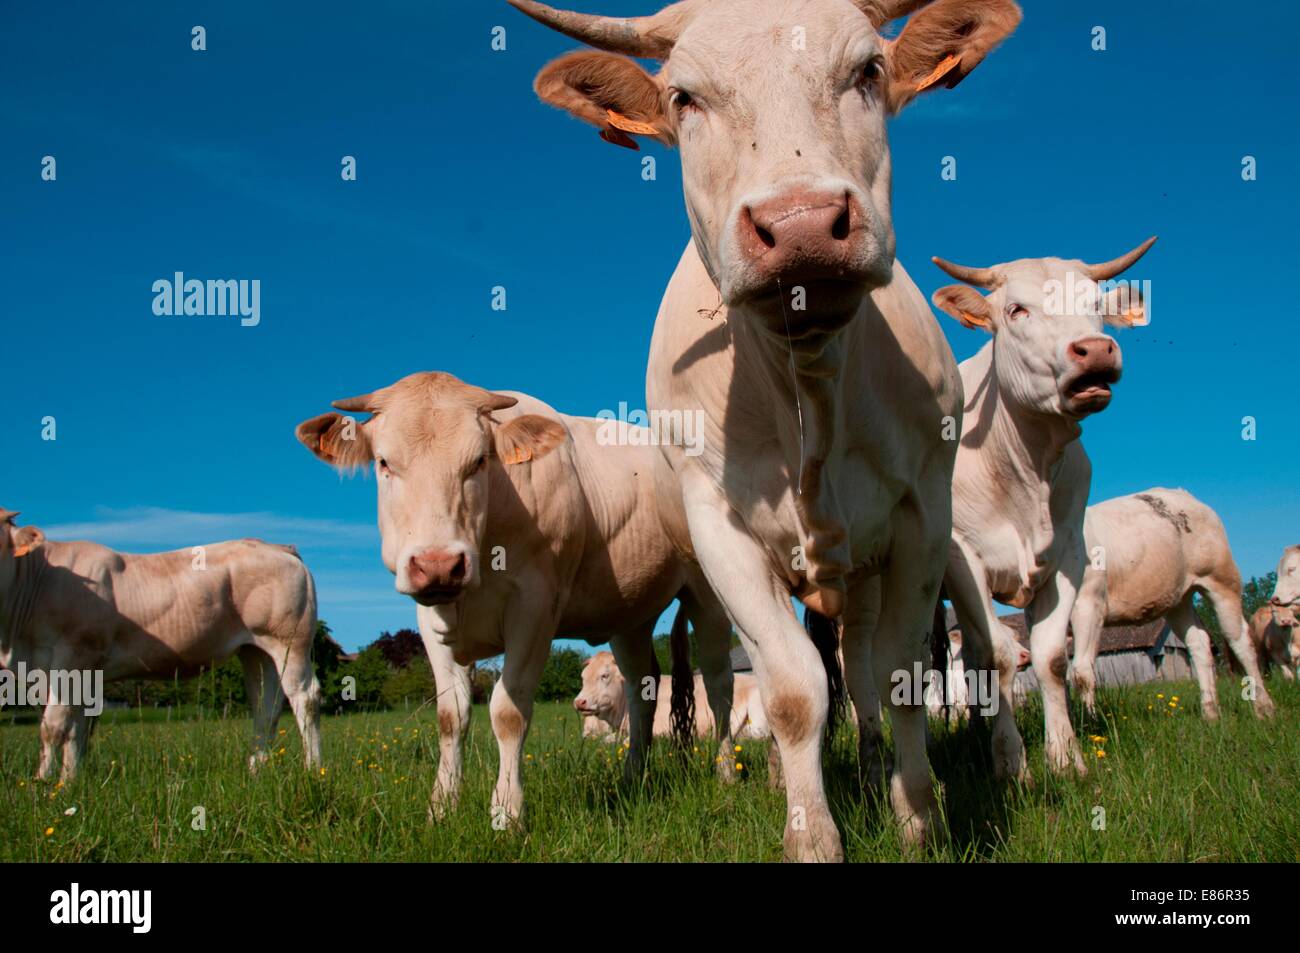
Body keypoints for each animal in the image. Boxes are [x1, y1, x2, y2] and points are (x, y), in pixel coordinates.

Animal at [0, 509, 321, 781]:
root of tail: (276, 547)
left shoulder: (72, 654)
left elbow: (54, 725)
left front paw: (43, 786)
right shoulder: (77, 669)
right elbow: (78, 726)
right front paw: (69, 782)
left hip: (290, 642)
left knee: (305, 698)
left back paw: (314, 770)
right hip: (256, 650)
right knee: (265, 706)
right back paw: (255, 772)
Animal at [295, 371, 735, 826]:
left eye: (478, 461)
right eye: (384, 463)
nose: (438, 564)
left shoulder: (535, 607)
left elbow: (508, 712)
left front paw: (507, 812)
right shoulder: (430, 619)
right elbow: (450, 716)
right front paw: (441, 808)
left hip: (709, 592)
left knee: (718, 683)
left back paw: (725, 774)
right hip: (629, 616)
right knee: (641, 686)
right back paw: (632, 777)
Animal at [1069, 488, 1275, 720]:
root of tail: (1180, 493)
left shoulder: (1088, 603)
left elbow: (1081, 672)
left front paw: (1091, 721)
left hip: (1222, 581)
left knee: (1240, 641)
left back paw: (1264, 708)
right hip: (1178, 600)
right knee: (1198, 643)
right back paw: (1210, 713)